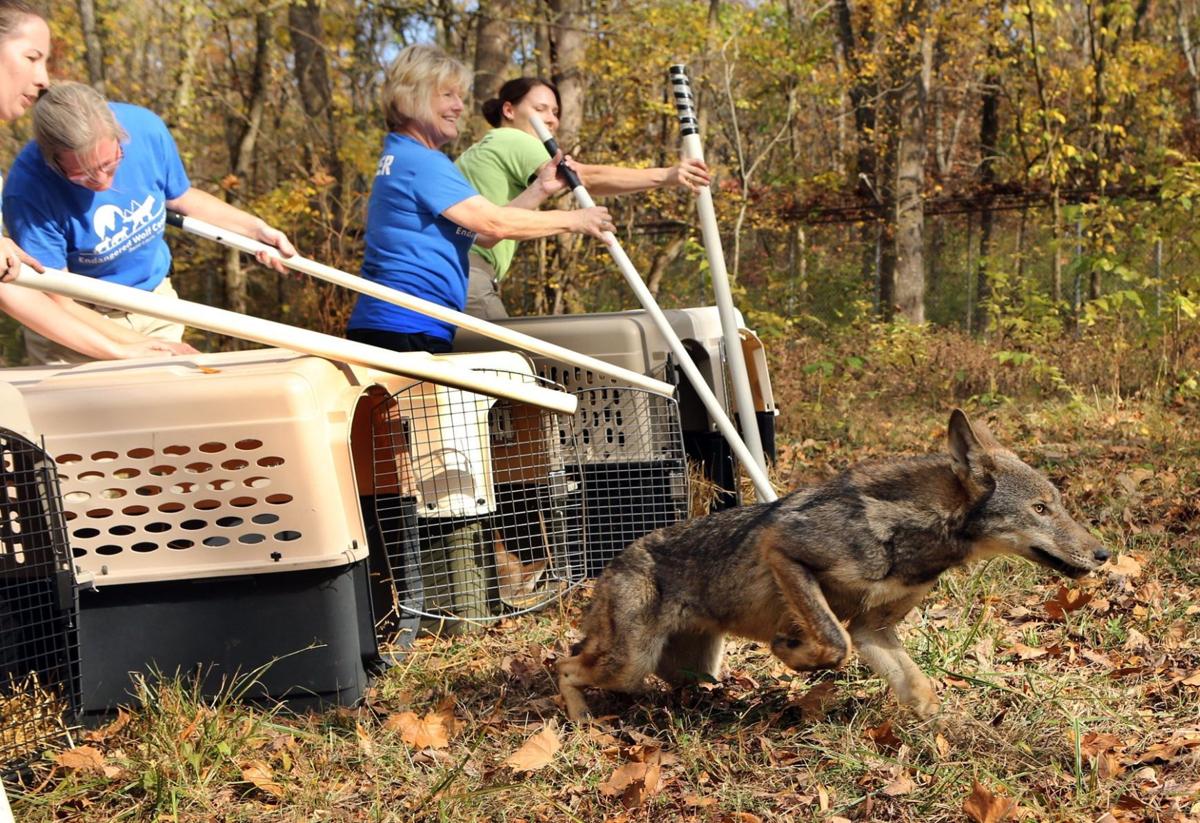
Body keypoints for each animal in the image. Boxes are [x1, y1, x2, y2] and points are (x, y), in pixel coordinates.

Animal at [558, 409, 1108, 721]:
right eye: (1041, 509)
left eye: (1056, 505)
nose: (1105, 555)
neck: (908, 533)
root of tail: (610, 566)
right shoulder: (784, 551)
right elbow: (833, 643)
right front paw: (790, 650)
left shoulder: (874, 630)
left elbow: (919, 689)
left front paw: (950, 736)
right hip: (629, 665)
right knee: (564, 665)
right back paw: (581, 721)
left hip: (694, 669)